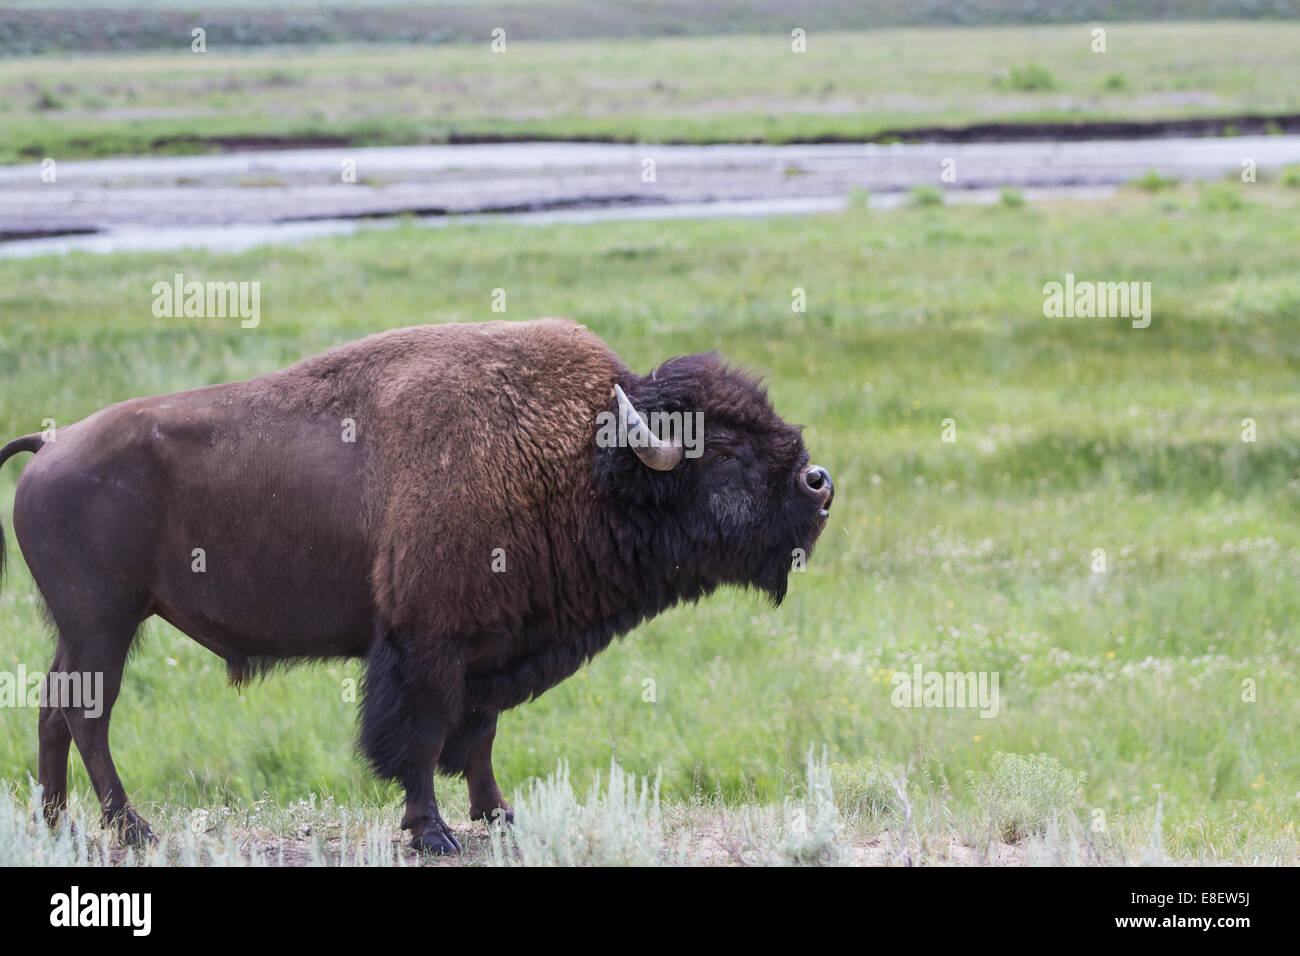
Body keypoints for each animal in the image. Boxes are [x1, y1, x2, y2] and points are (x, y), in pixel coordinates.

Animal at [0, 319, 833, 854]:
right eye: (723, 450)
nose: (819, 484)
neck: (580, 458)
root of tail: (50, 446)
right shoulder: (427, 646)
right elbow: (423, 739)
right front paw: (433, 833)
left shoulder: (493, 647)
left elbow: (479, 738)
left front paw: (500, 817)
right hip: (106, 625)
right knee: (88, 717)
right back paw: (132, 828)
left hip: (84, 630)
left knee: (54, 710)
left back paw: (57, 825)